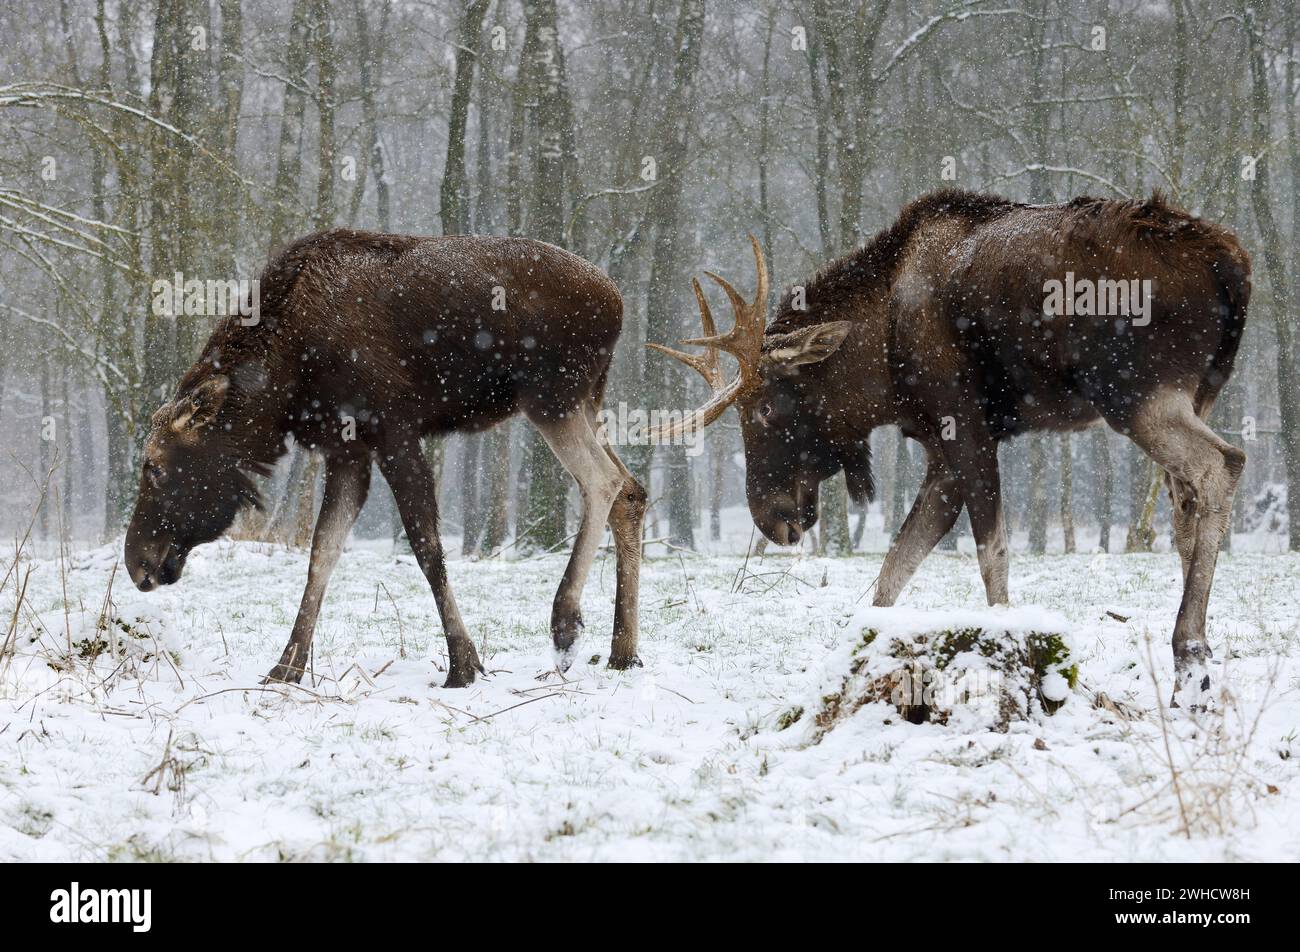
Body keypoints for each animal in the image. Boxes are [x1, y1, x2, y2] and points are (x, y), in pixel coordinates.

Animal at [124, 230, 647, 688]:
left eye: (154, 466)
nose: (137, 565)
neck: (285, 376)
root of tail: (618, 300)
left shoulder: (393, 431)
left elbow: (426, 546)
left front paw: (463, 664)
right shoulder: (347, 450)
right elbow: (323, 551)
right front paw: (287, 667)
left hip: (551, 396)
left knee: (602, 481)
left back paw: (565, 625)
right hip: (586, 401)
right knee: (632, 489)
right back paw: (623, 650)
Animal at [649, 190, 1250, 708]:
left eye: (764, 410)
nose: (770, 519)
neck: (882, 361)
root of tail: (1234, 267)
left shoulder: (965, 425)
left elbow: (991, 555)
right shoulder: (941, 451)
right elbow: (894, 567)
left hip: (1135, 394)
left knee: (1224, 464)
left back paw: (1191, 650)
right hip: (1198, 394)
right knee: (1187, 504)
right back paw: (1190, 678)